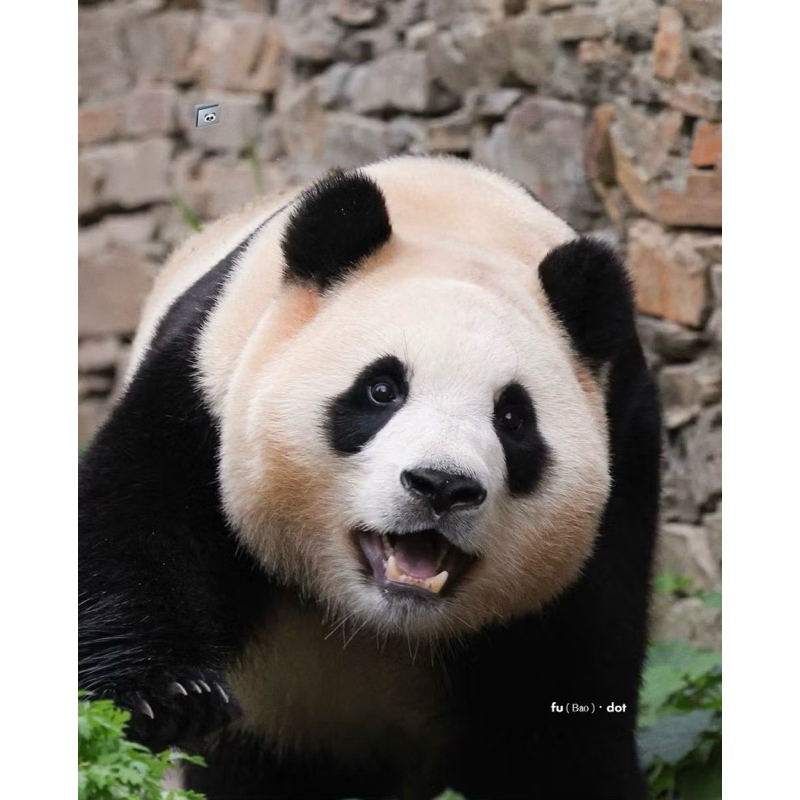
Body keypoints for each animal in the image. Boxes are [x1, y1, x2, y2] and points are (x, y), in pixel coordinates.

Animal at [78, 155, 661, 800]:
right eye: (383, 389)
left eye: (513, 419)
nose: (441, 485)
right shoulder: (207, 386)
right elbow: (135, 527)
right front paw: (170, 698)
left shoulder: (622, 469)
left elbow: (560, 715)